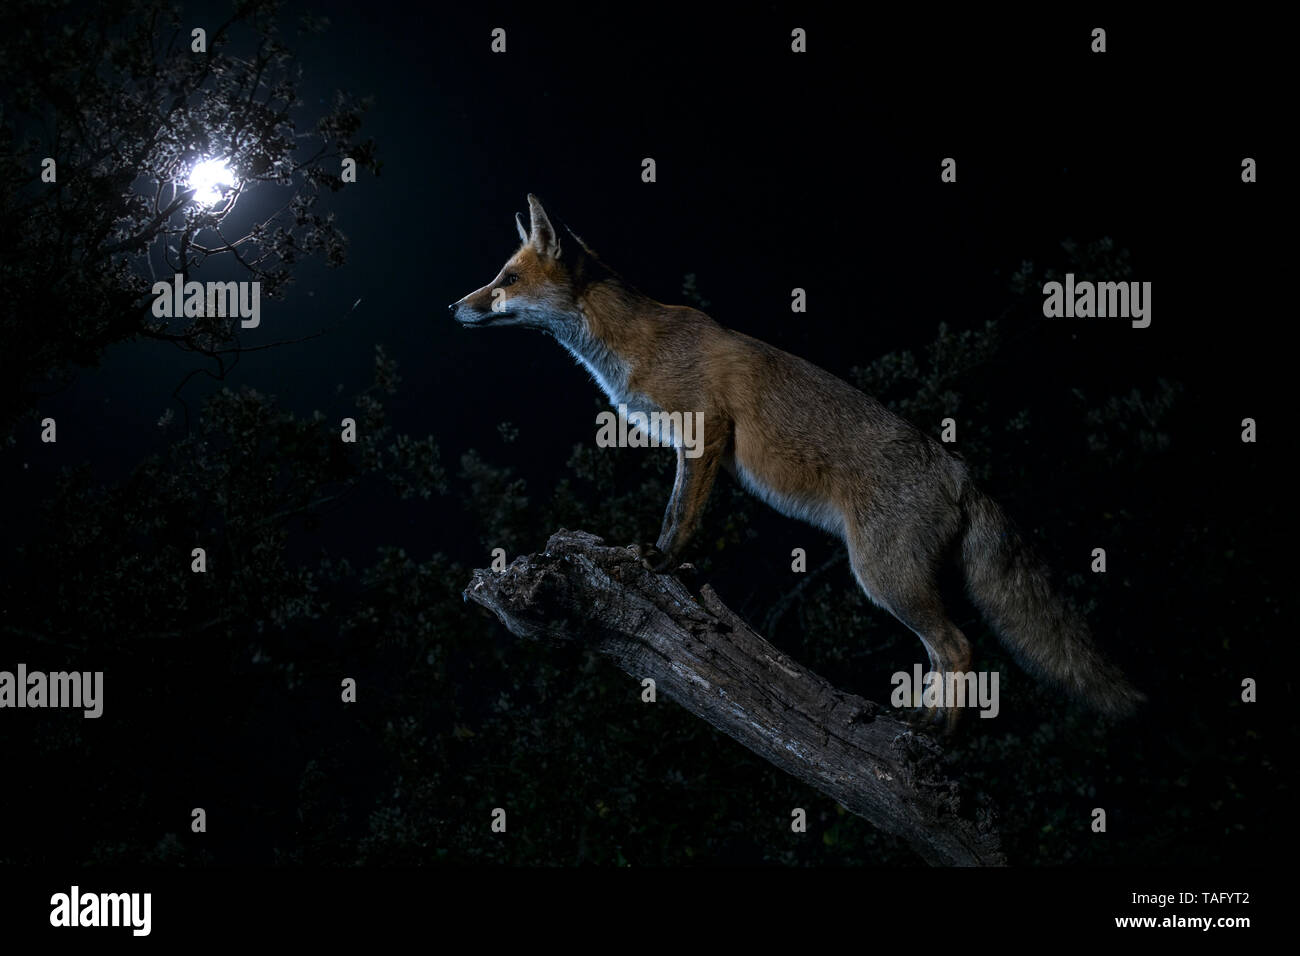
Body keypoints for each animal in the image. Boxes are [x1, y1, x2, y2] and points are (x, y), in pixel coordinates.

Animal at [449, 194, 1145, 731]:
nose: (454, 308)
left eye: (505, 280)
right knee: (943, 653)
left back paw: (939, 734)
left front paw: (656, 561)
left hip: (883, 576)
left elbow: (678, 518)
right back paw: (927, 724)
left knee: (959, 645)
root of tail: (962, 473)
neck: (633, 343)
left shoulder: (703, 431)